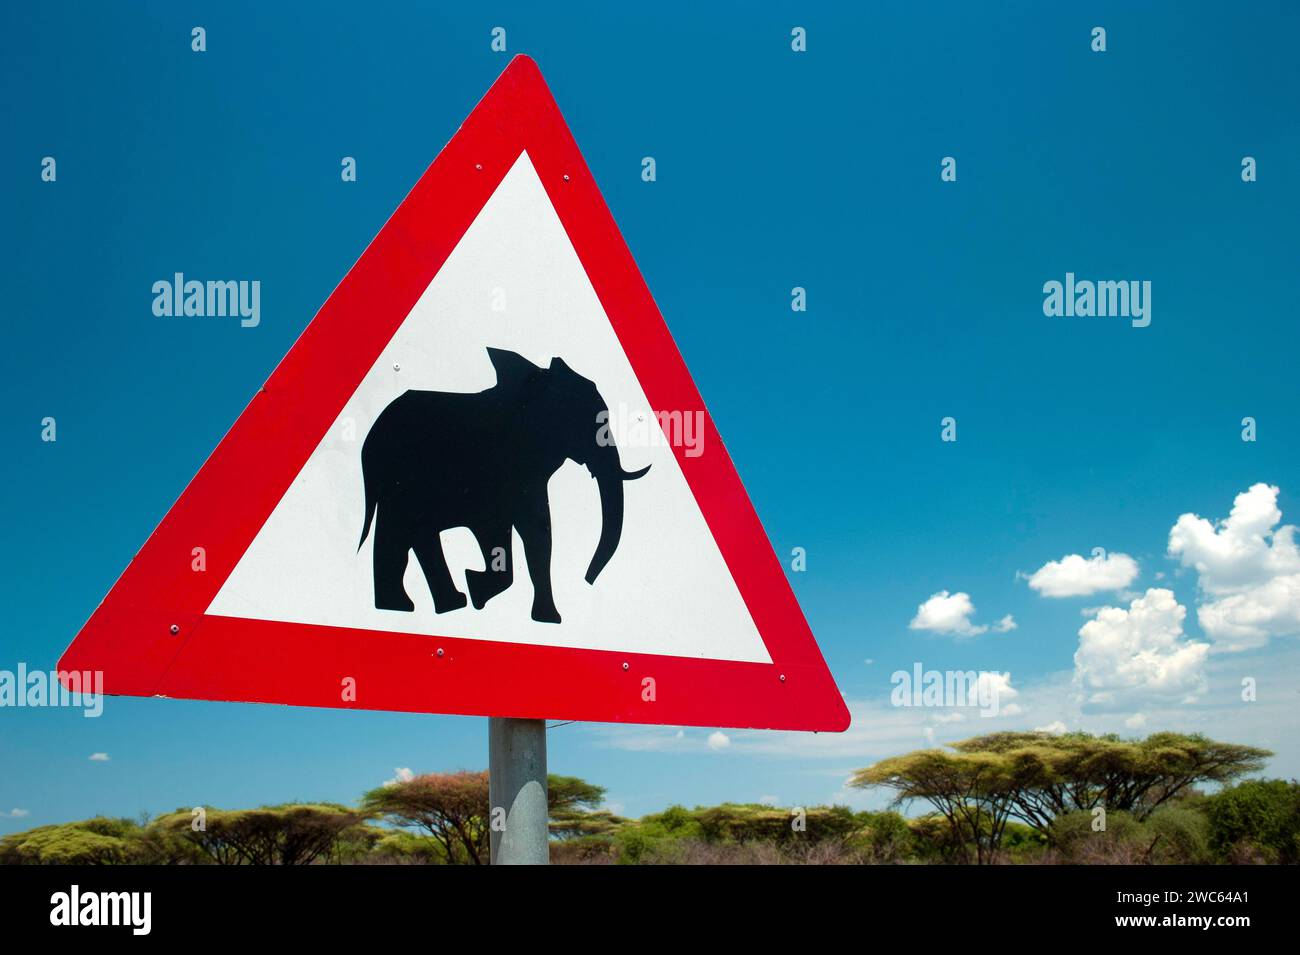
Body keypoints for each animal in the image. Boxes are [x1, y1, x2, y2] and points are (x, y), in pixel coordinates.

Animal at [357, 348, 650, 624]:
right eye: (599, 422)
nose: (588, 579)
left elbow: (537, 532)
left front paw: (546, 618)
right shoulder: (495, 475)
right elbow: (508, 532)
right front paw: (476, 587)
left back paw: (417, 605)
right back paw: (427, 605)